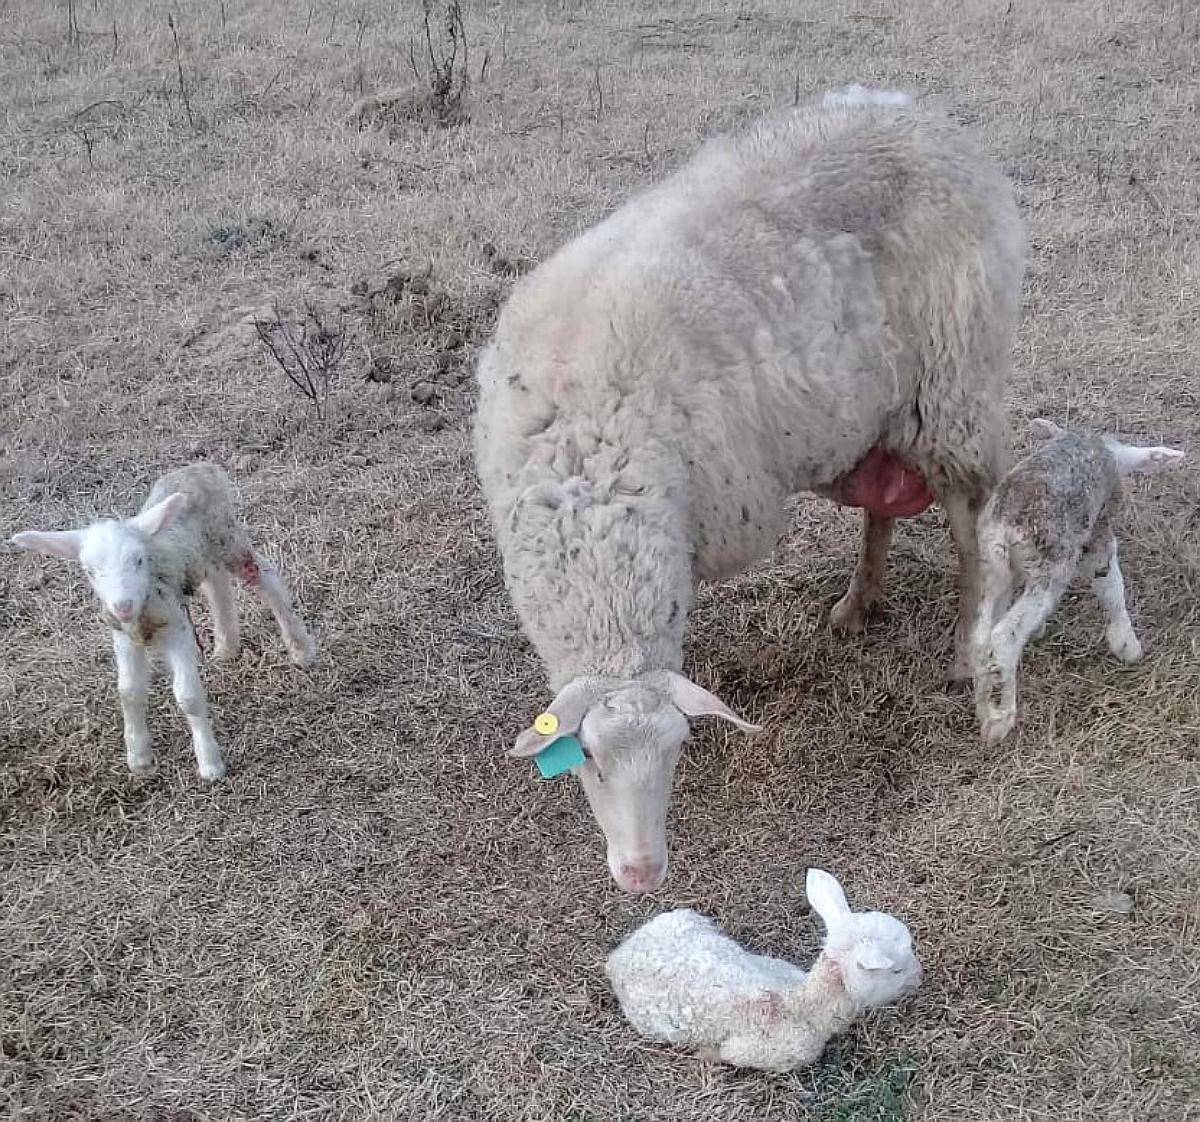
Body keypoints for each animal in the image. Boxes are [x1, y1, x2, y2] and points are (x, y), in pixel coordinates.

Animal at [9, 463, 317, 780]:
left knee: (267, 578)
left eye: (138, 560)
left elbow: (188, 696)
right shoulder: (124, 638)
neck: (142, 616)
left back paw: (301, 649)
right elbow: (128, 692)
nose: (123, 606)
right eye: (90, 571)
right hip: (201, 552)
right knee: (217, 584)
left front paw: (210, 763)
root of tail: (201, 467)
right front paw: (139, 758)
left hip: (228, 539)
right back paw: (226, 647)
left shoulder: (178, 629)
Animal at [473, 85, 1026, 892]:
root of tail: (922, 114)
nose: (643, 876)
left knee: (970, 528)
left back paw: (962, 654)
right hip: (876, 411)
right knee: (881, 510)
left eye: (677, 752)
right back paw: (858, 604)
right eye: (591, 760)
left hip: (954, 382)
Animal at [605, 868, 922, 1072]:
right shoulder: (756, 1052)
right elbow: (725, 1053)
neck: (799, 1006)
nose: (919, 977)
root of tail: (619, 955)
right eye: (896, 971)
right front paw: (708, 1054)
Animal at [972, 418, 1185, 745]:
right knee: (1004, 637)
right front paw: (1127, 645)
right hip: (1052, 566)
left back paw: (987, 711)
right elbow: (1111, 586)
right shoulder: (1098, 535)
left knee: (981, 637)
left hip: (994, 566)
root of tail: (1007, 526)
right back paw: (1003, 717)